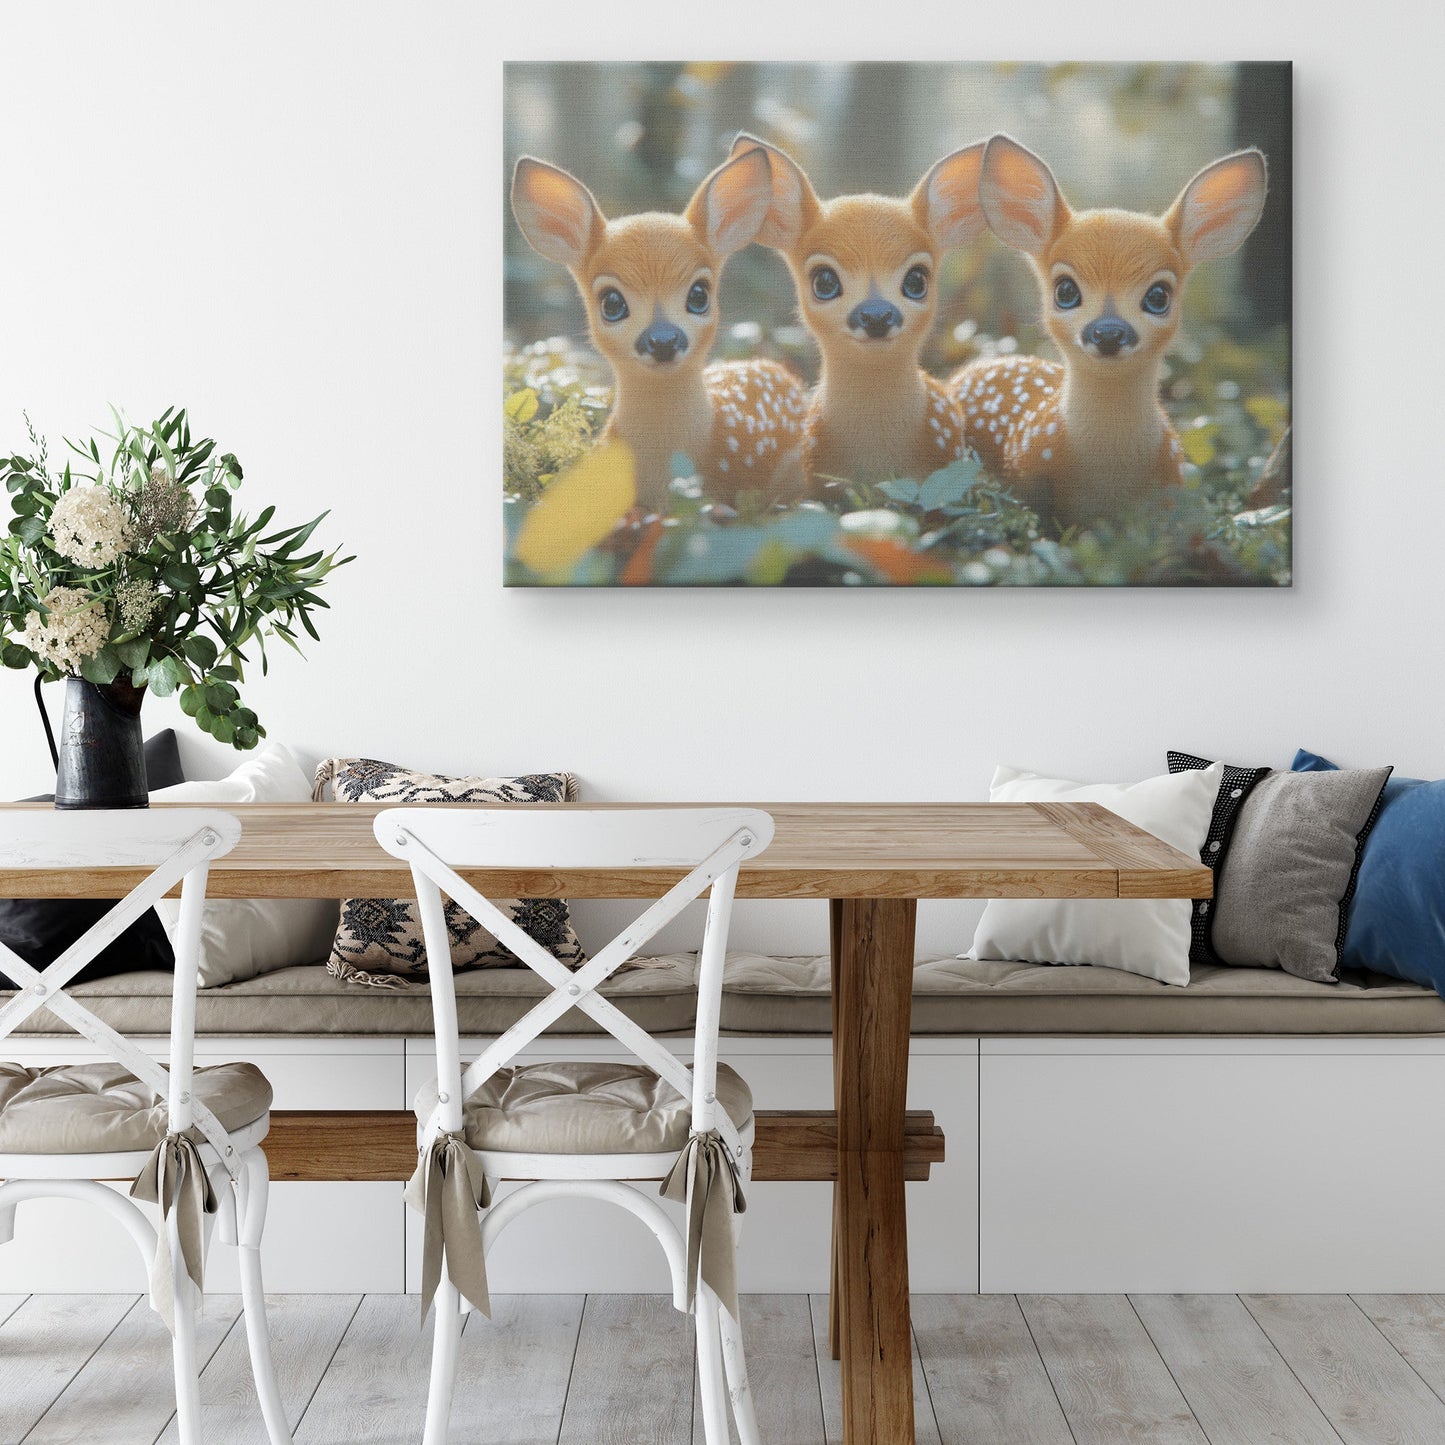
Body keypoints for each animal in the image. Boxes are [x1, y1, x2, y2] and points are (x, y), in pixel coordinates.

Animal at [951, 134, 1269, 528]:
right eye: (1066, 291)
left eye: (1158, 295)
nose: (1108, 333)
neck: (1107, 467)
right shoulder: (1028, 470)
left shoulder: (1172, 479)